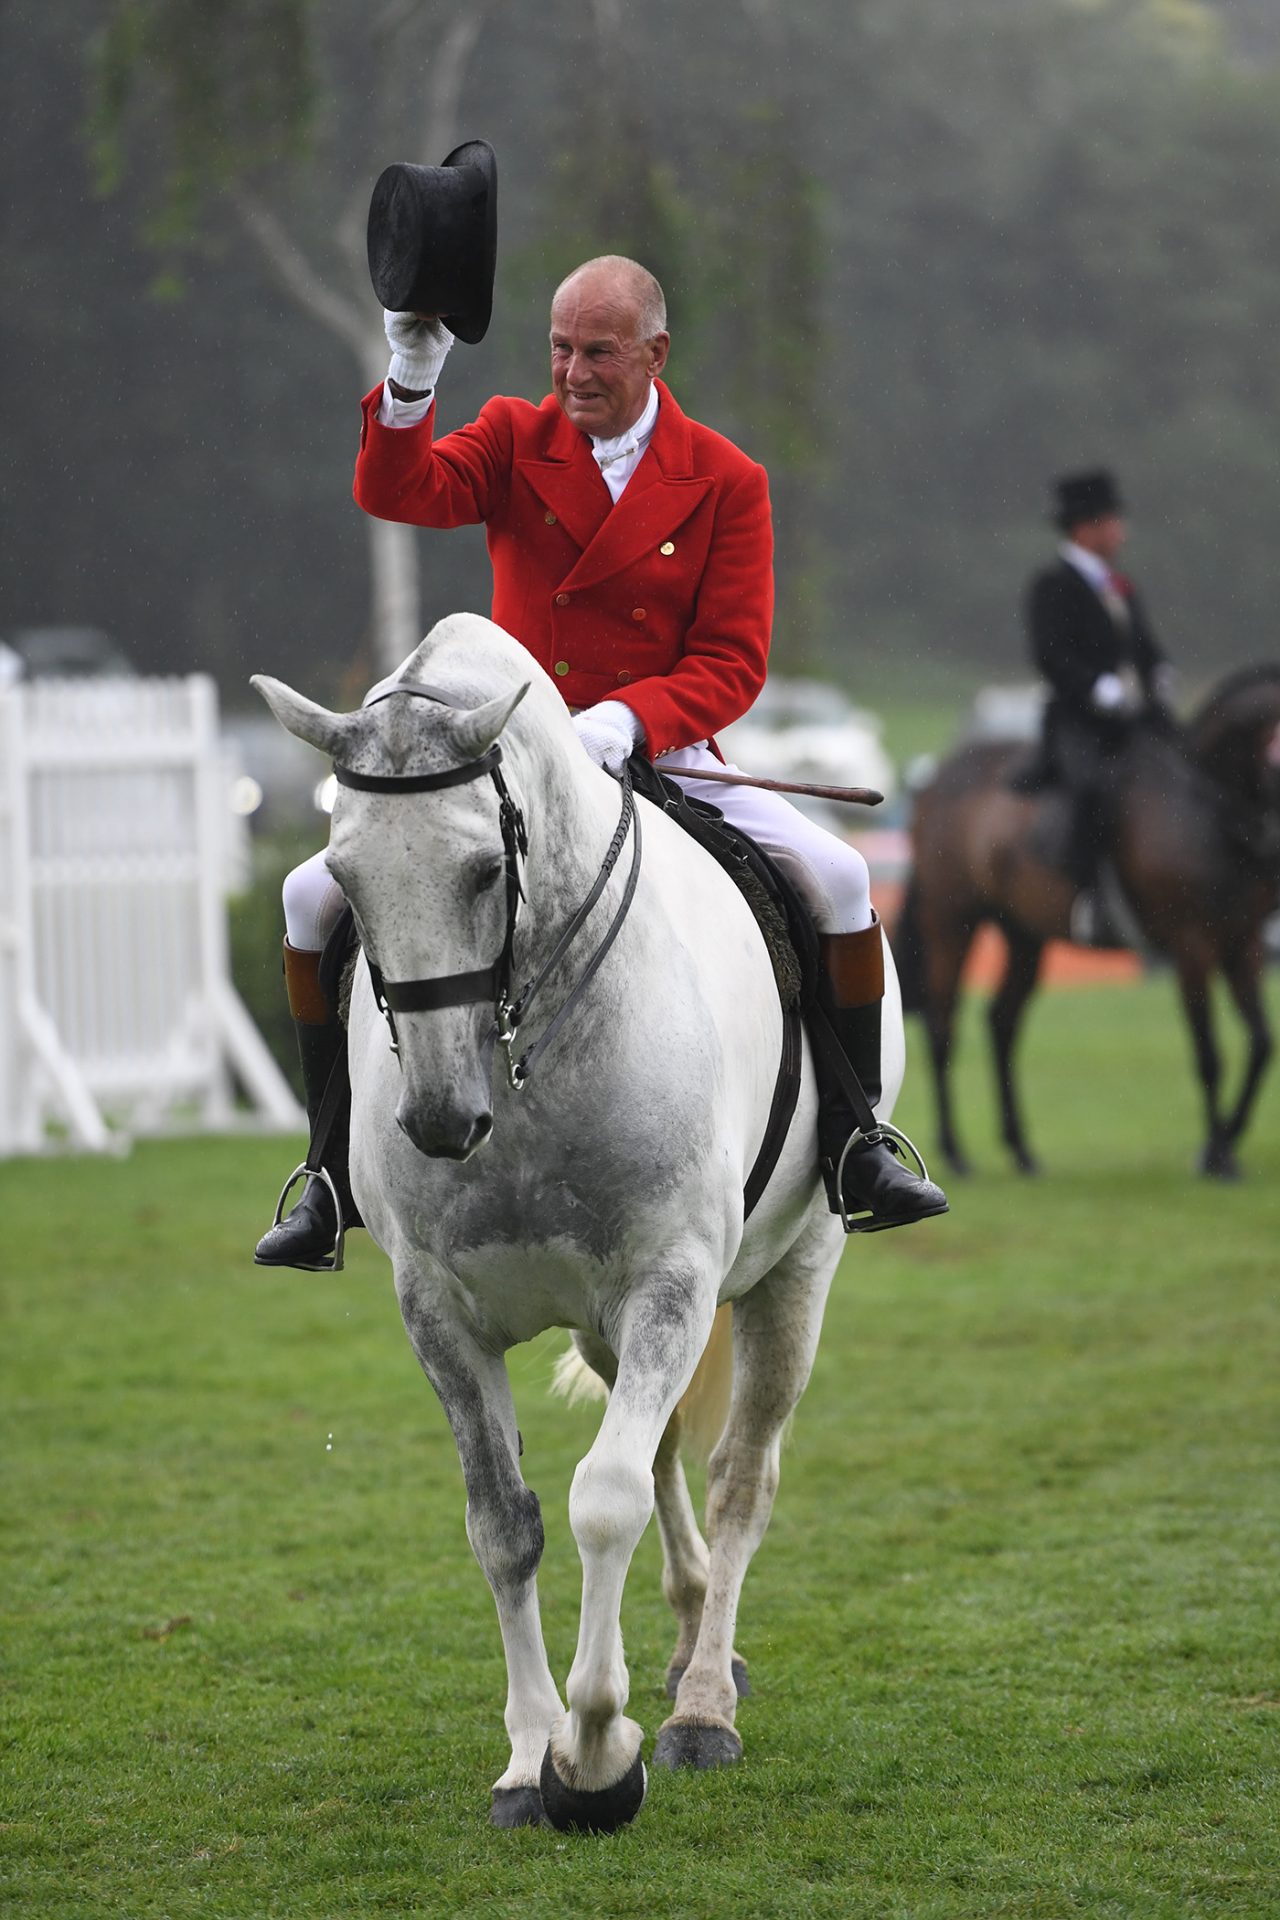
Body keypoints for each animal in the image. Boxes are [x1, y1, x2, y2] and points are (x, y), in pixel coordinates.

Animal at [252, 611, 907, 1833]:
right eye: (348, 880)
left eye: (481, 869)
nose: (438, 1117)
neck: (521, 1047)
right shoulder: (440, 1314)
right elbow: (507, 1524)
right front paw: (527, 1759)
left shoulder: (669, 1282)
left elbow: (604, 1499)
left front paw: (598, 1758)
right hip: (607, 1326)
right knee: (666, 1457)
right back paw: (693, 1638)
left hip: (794, 1268)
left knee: (740, 1474)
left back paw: (703, 1704)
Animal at [897, 663, 1280, 1181]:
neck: (1204, 809)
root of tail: (935, 780)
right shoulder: (1192, 946)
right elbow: (1209, 1055)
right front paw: (1217, 1155)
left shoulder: (1243, 943)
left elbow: (1261, 1043)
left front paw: (1220, 1148)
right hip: (952, 922)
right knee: (943, 1024)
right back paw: (955, 1152)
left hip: (1023, 934)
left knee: (1001, 1022)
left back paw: (1021, 1150)